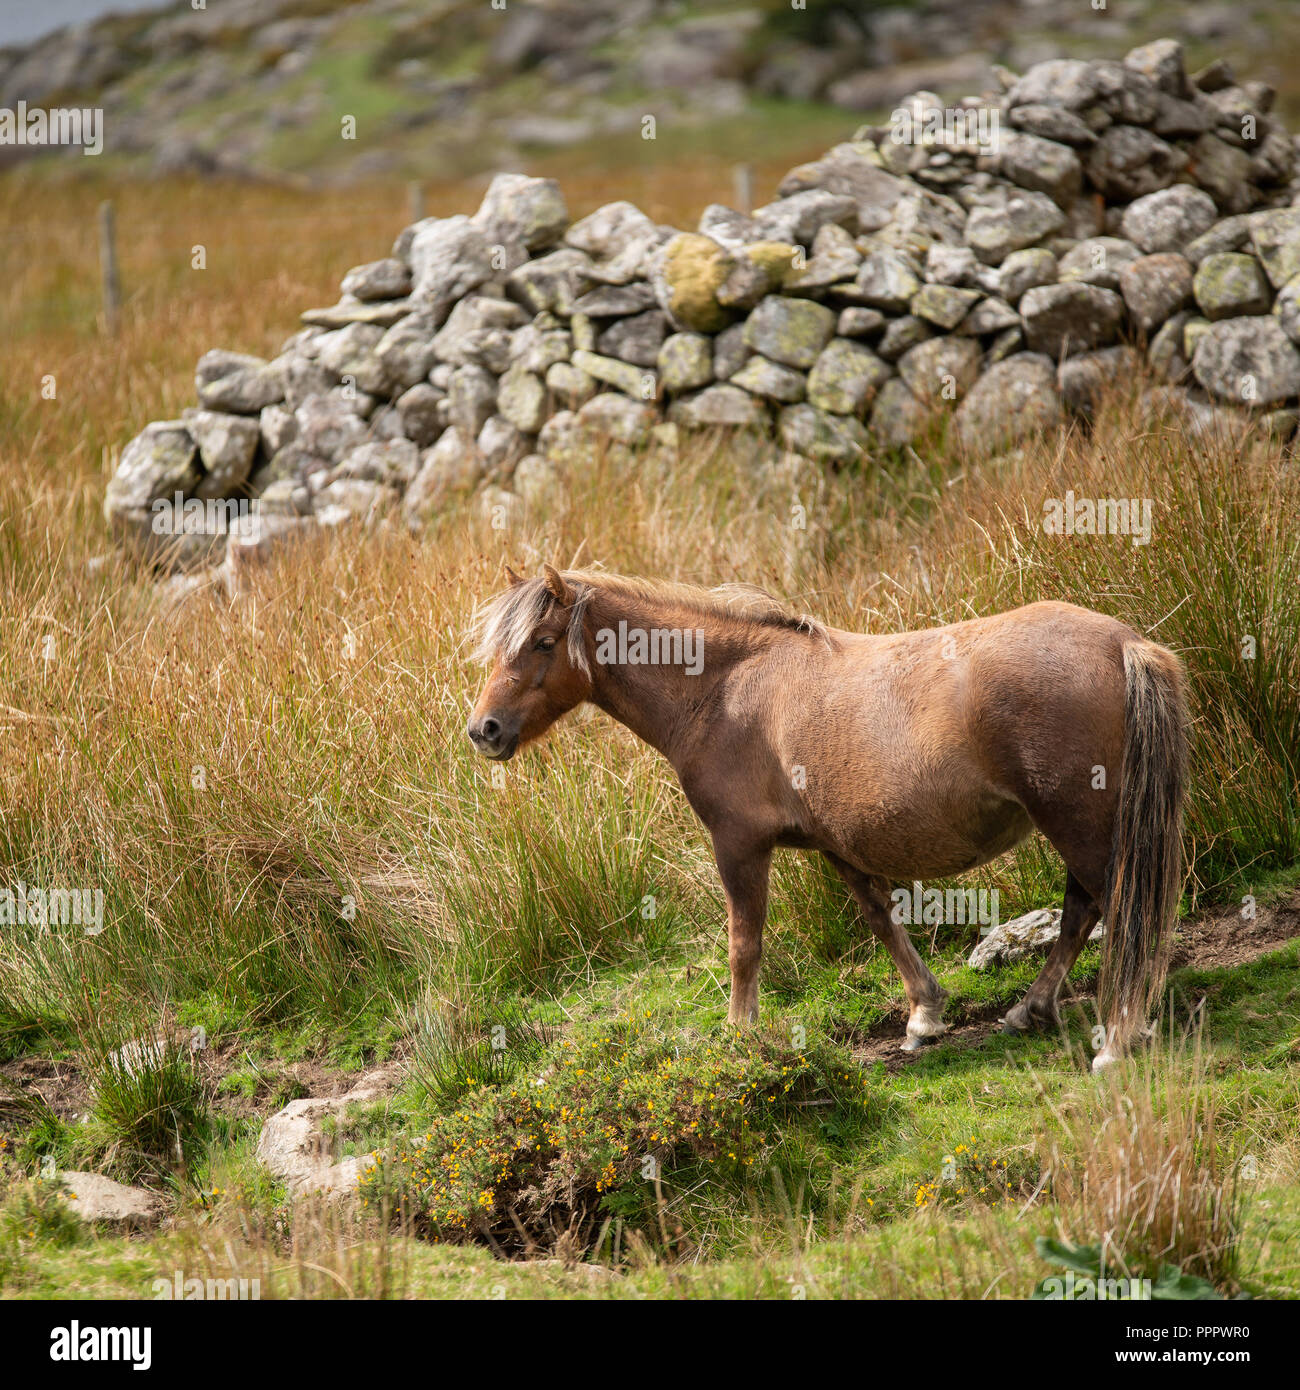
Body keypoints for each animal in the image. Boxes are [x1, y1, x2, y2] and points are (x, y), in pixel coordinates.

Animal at [468, 565, 1188, 1070]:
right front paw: (924, 1015)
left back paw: (1116, 1037)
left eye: (542, 642)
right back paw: (1033, 1010)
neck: (726, 690)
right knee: (1083, 907)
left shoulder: (739, 846)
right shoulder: (839, 846)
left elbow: (744, 945)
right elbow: (881, 919)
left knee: (1116, 903)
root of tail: (1125, 643)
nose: (485, 730)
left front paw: (739, 1037)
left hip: (1078, 821)